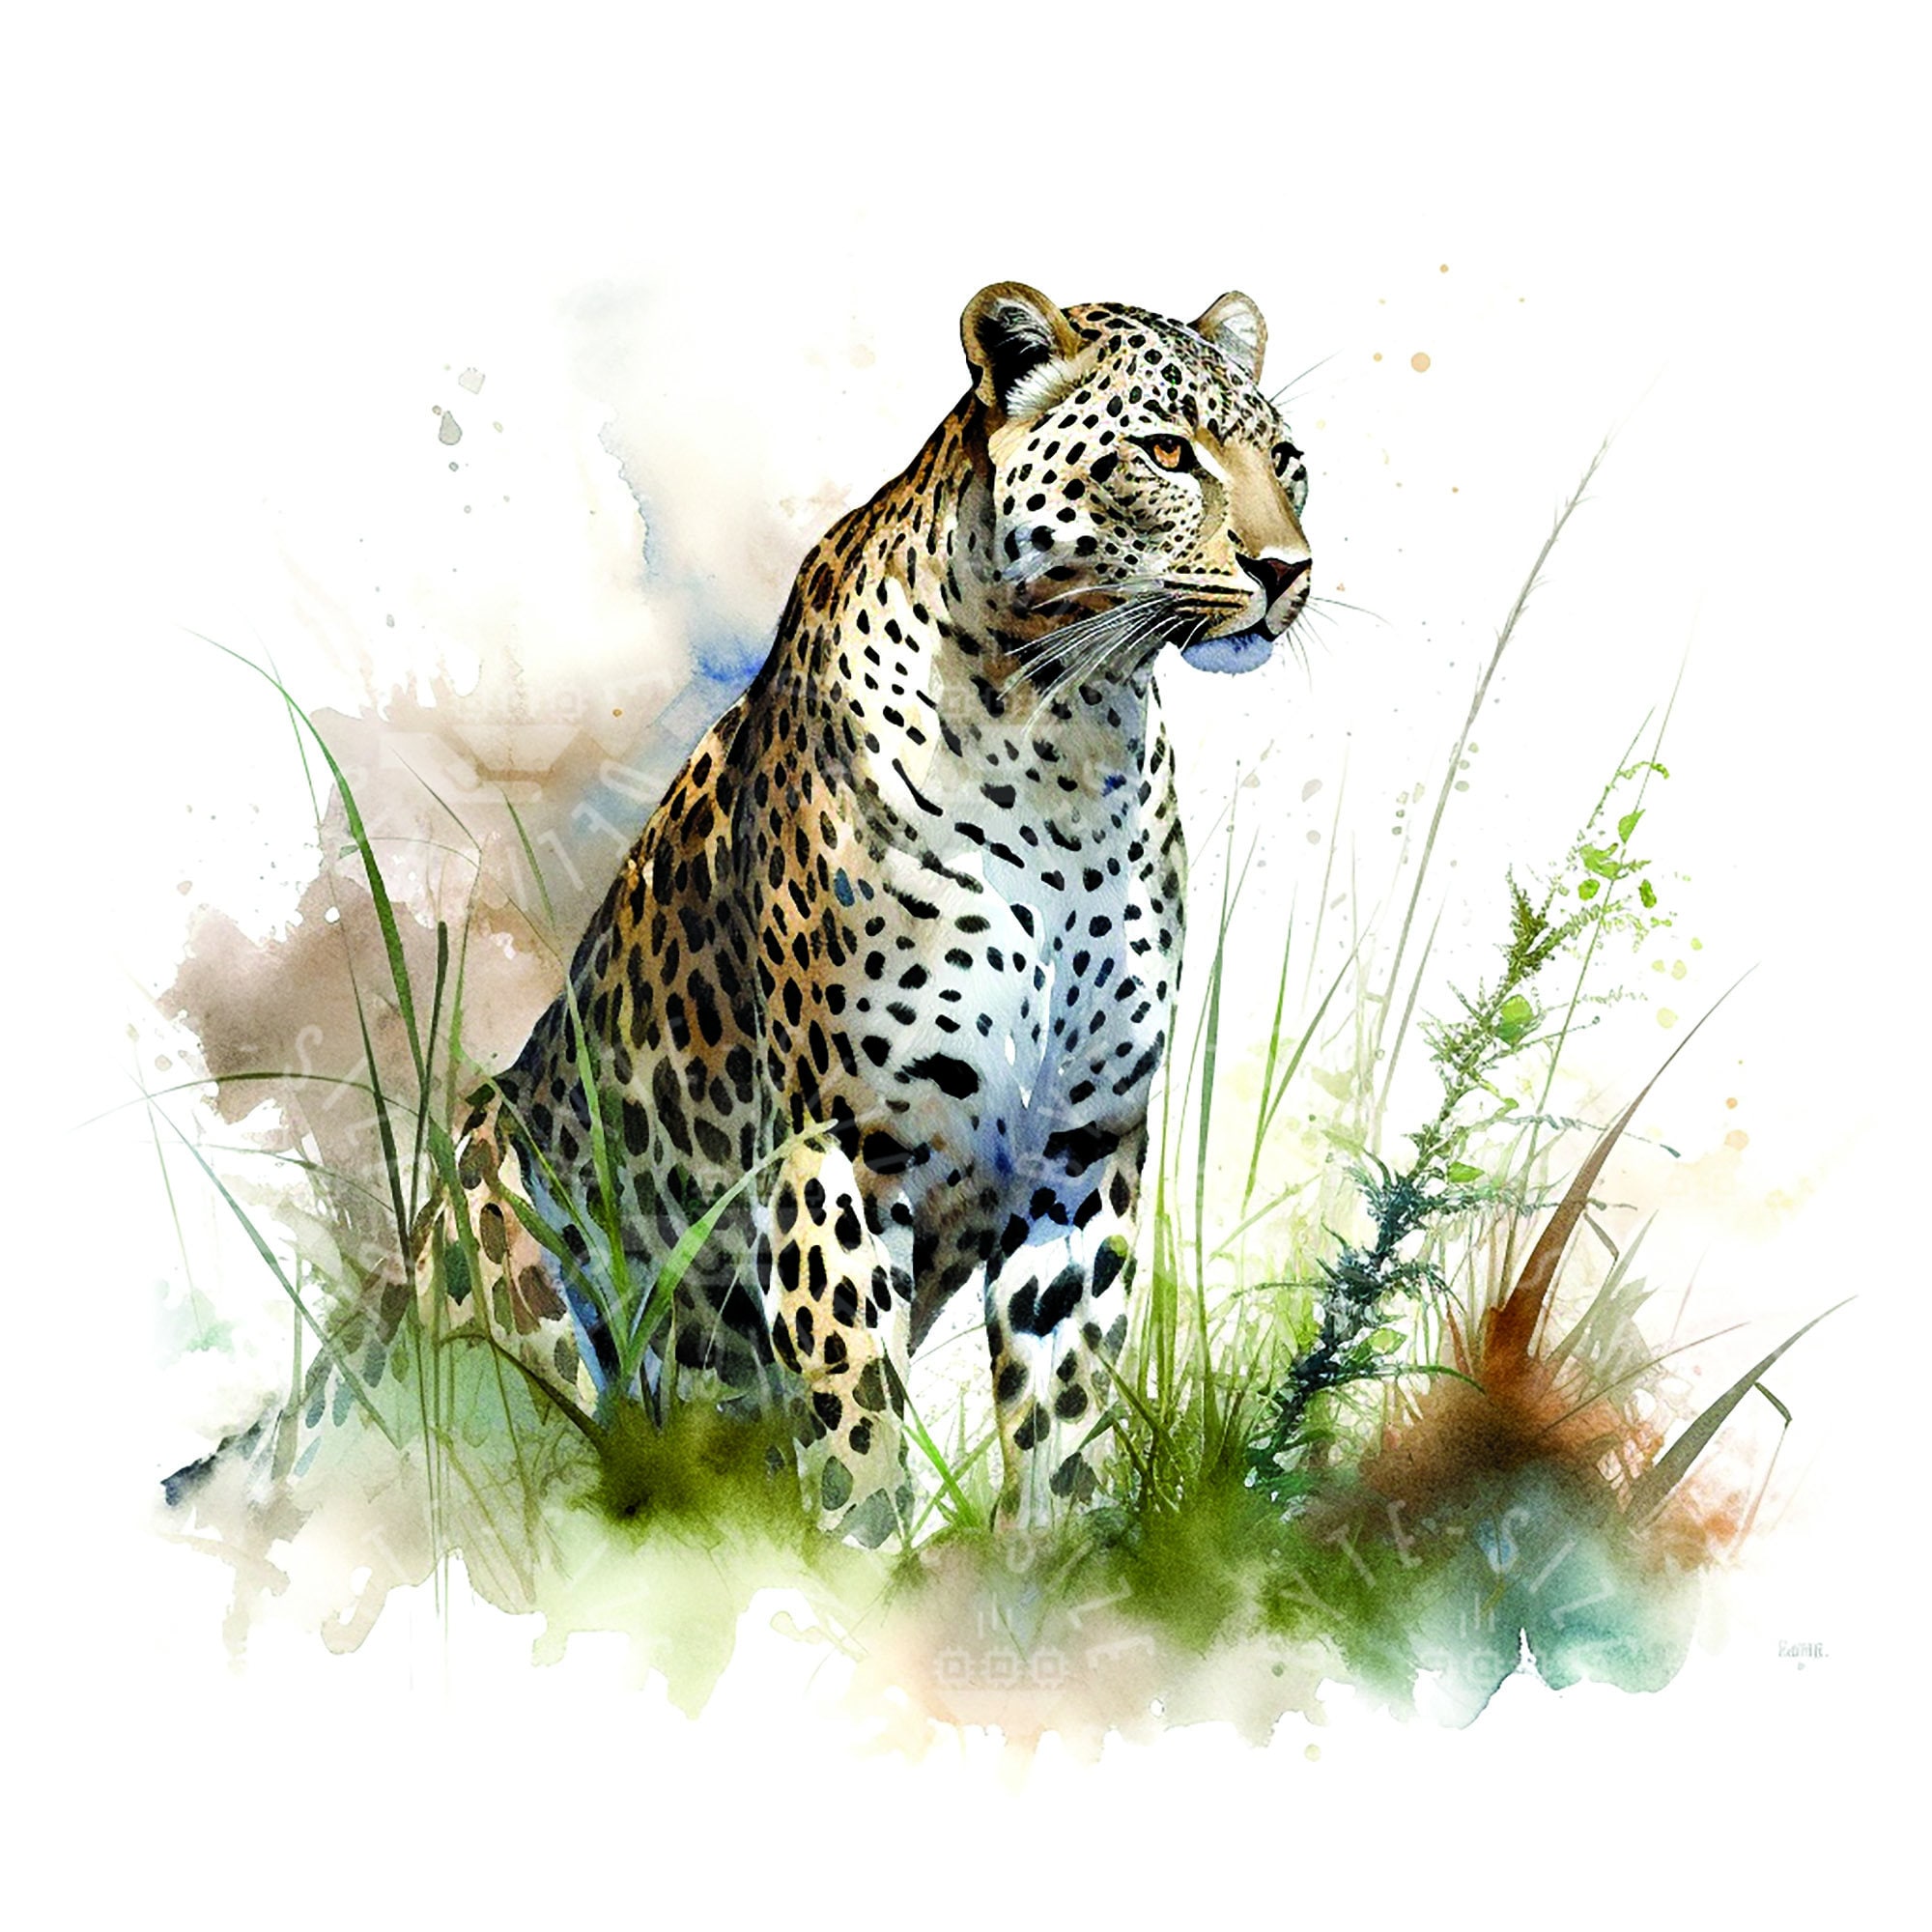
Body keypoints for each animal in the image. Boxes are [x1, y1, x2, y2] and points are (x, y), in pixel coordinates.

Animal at [267, 284, 1311, 1544]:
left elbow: (1062, 1409)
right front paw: (866, 1571)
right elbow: (857, 1424)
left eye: (1287, 463)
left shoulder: (1080, 1150)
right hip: (502, 1255)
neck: (1069, 736)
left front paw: (1055, 1572)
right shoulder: (840, 1147)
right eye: (1165, 453)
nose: (1286, 568)